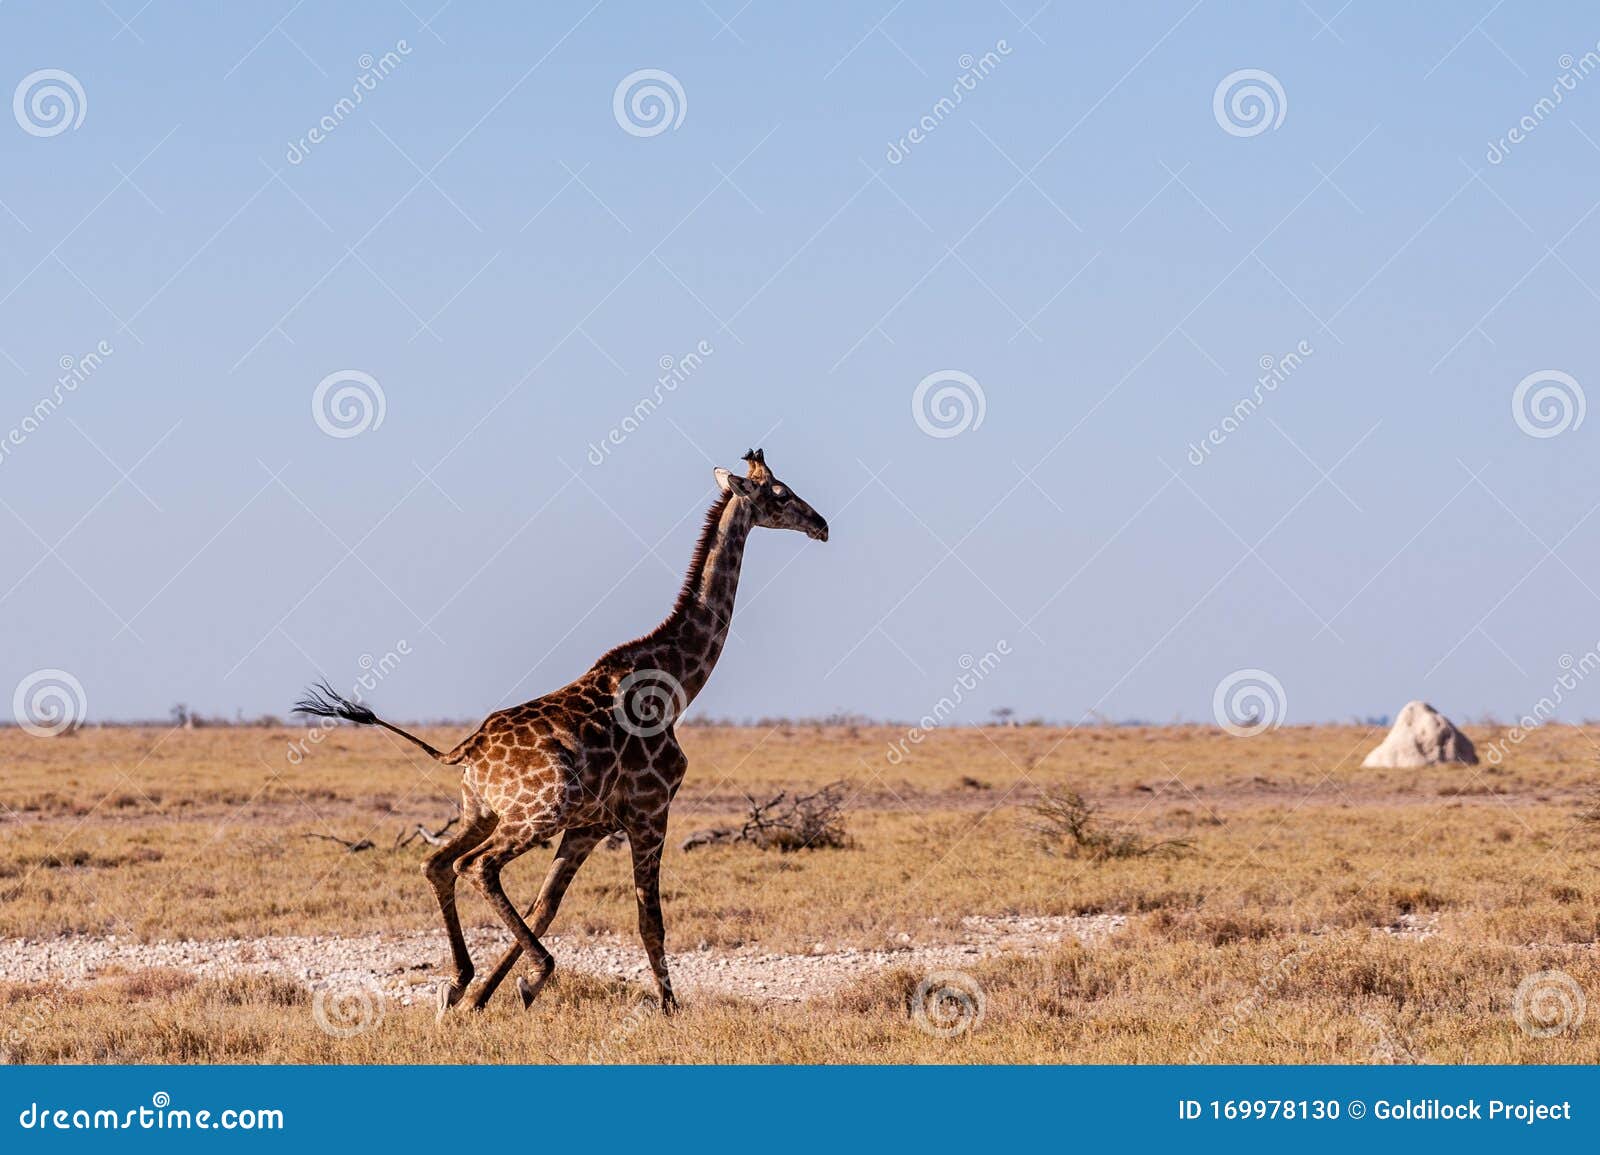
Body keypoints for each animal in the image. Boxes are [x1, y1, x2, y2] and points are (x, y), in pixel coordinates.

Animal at [295, 449, 828, 1016]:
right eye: (781, 494)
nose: (822, 525)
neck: (677, 685)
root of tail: (468, 750)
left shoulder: (590, 825)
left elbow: (545, 905)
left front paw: (491, 996)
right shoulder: (649, 812)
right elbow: (650, 920)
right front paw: (667, 1009)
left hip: (484, 811)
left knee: (437, 862)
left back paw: (460, 981)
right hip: (540, 810)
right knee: (475, 865)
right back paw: (535, 968)